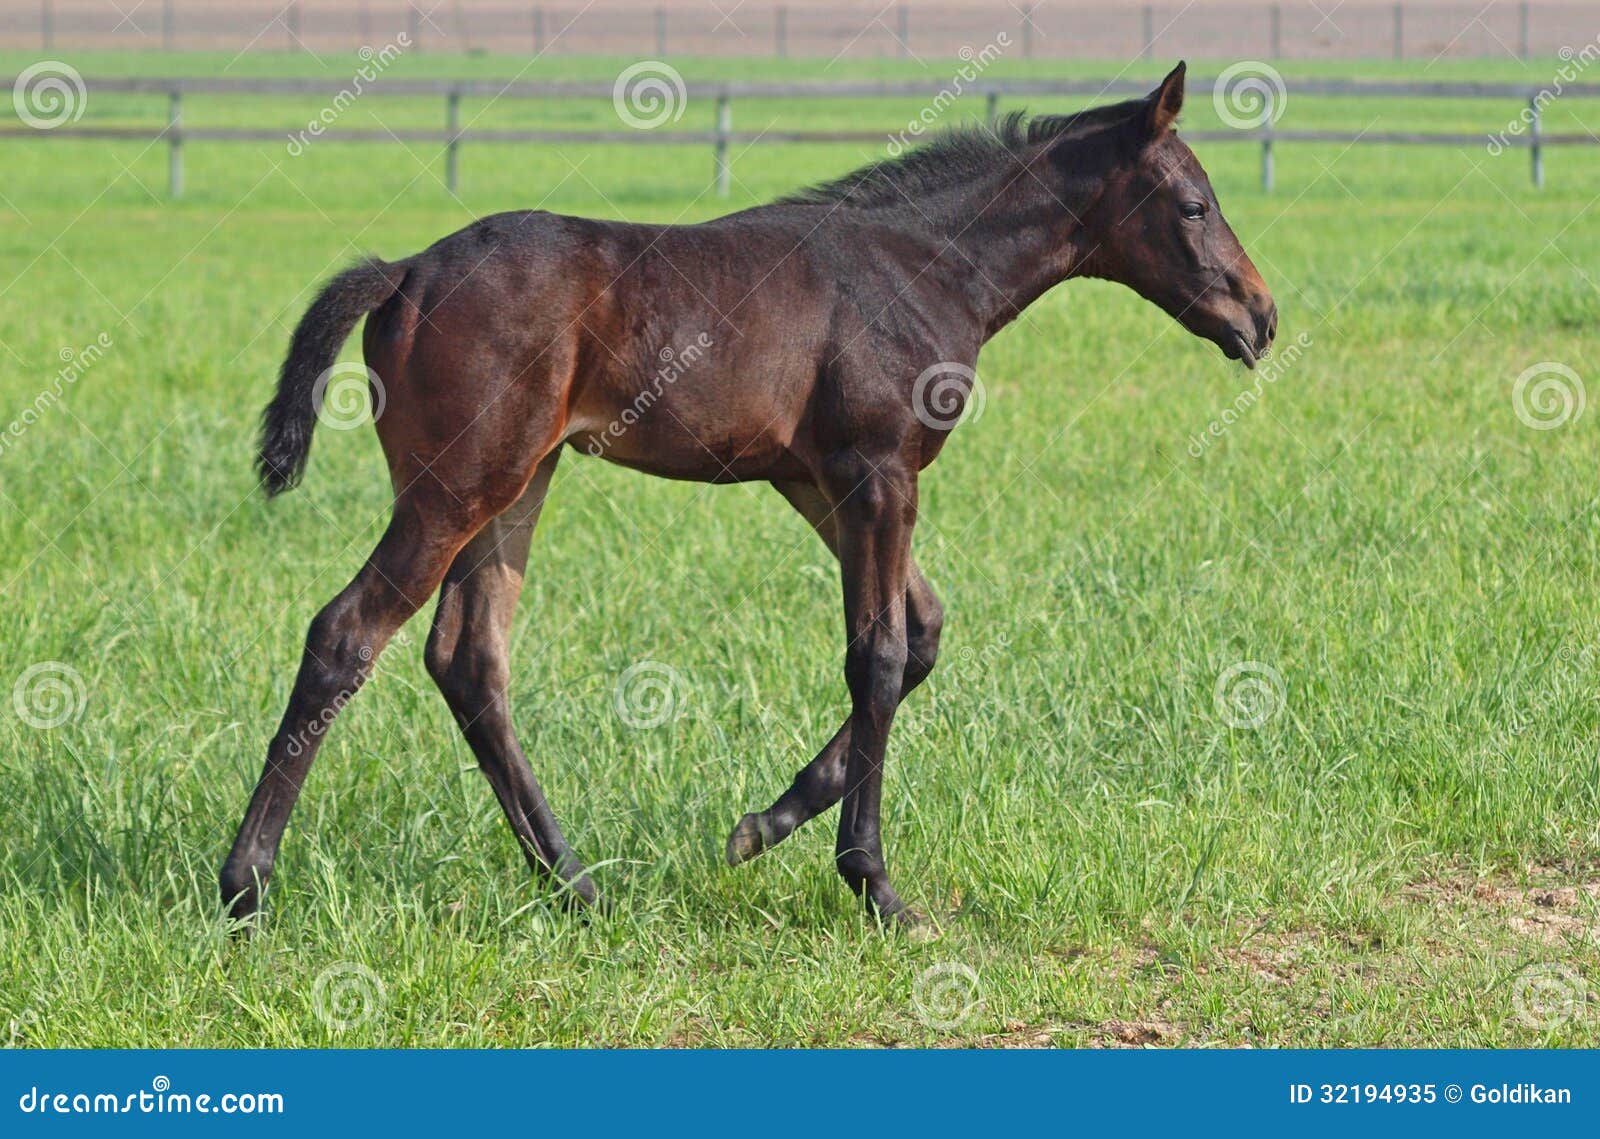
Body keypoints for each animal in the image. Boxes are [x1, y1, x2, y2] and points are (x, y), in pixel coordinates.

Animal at [220, 62, 1276, 932]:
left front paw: (762, 825)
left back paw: (576, 885)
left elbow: (921, 634)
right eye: (1194, 205)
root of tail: (401, 274)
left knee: (469, 661)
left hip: (516, 485)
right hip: (456, 487)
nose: (1261, 316)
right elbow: (878, 657)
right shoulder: (877, 471)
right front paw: (874, 884)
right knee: (346, 634)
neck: (922, 267)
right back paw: (247, 888)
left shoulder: (814, 478)